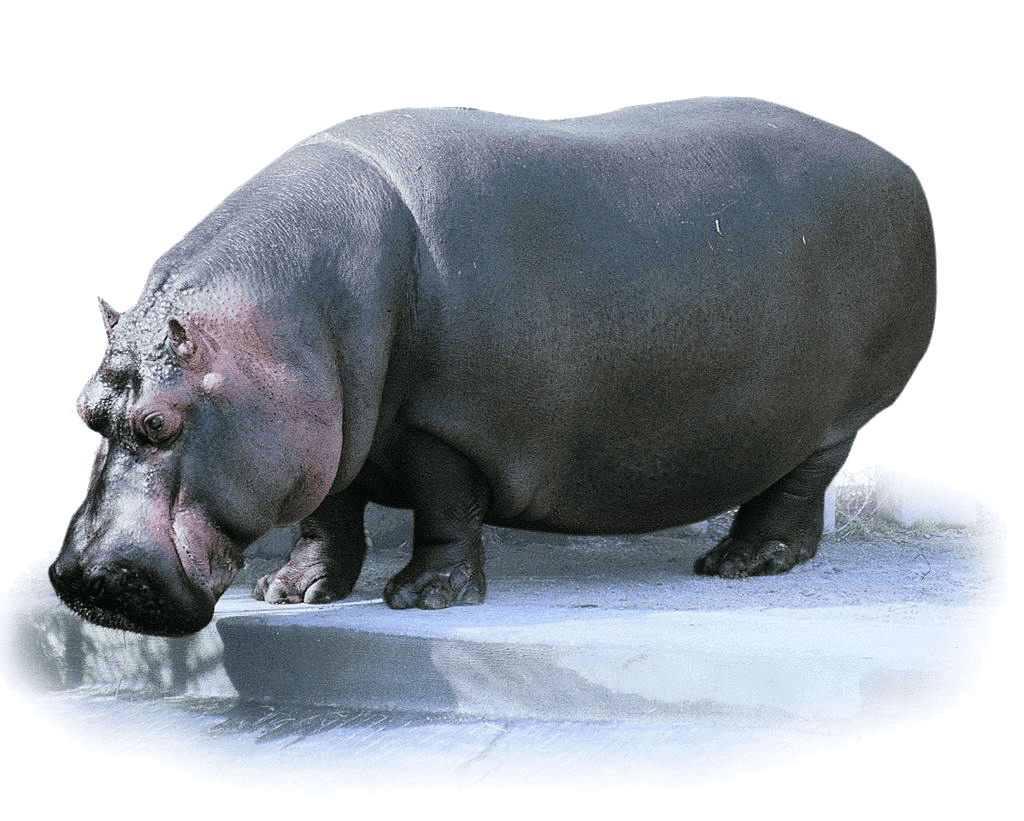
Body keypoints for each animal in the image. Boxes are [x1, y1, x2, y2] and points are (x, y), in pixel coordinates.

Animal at [49, 97, 936, 636]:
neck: (281, 322)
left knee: (797, 488)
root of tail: (894, 165)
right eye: (87, 410)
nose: (88, 578)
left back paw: (736, 565)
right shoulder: (331, 427)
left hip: (835, 416)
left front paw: (421, 599)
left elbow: (445, 510)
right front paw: (291, 592)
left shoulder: (444, 427)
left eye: (160, 421)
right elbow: (328, 515)